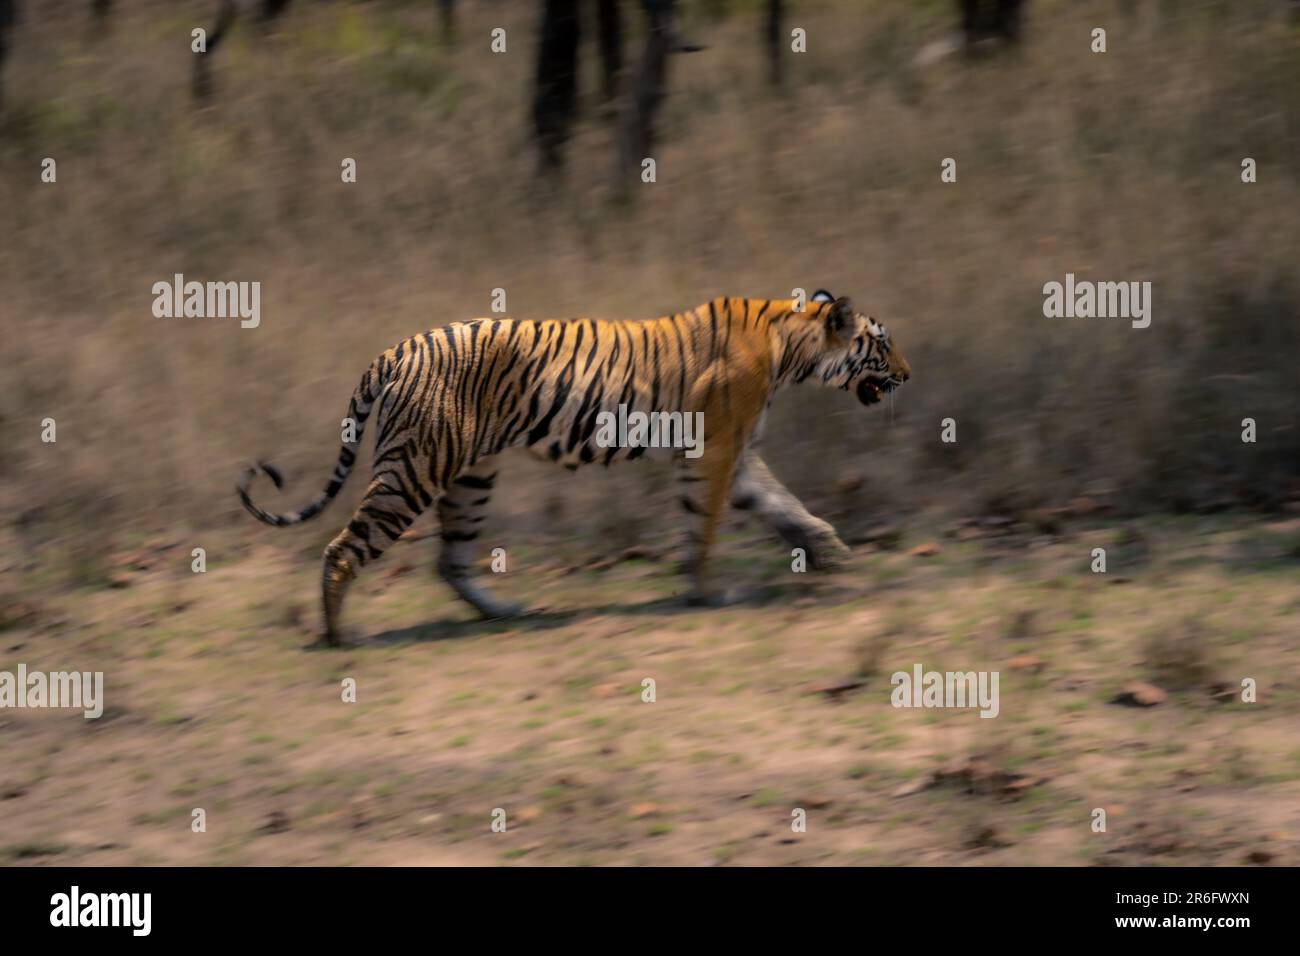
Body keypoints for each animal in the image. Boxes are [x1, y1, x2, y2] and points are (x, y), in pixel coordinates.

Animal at [237, 290, 911, 646]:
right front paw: (706, 592)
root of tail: (400, 347)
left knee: (449, 559)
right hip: (414, 471)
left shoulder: (739, 455)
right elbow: (704, 527)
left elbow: (784, 505)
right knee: (343, 548)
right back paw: (337, 636)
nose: (908, 374)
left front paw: (831, 552)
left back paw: (504, 612)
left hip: (470, 475)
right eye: (883, 343)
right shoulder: (716, 450)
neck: (791, 348)